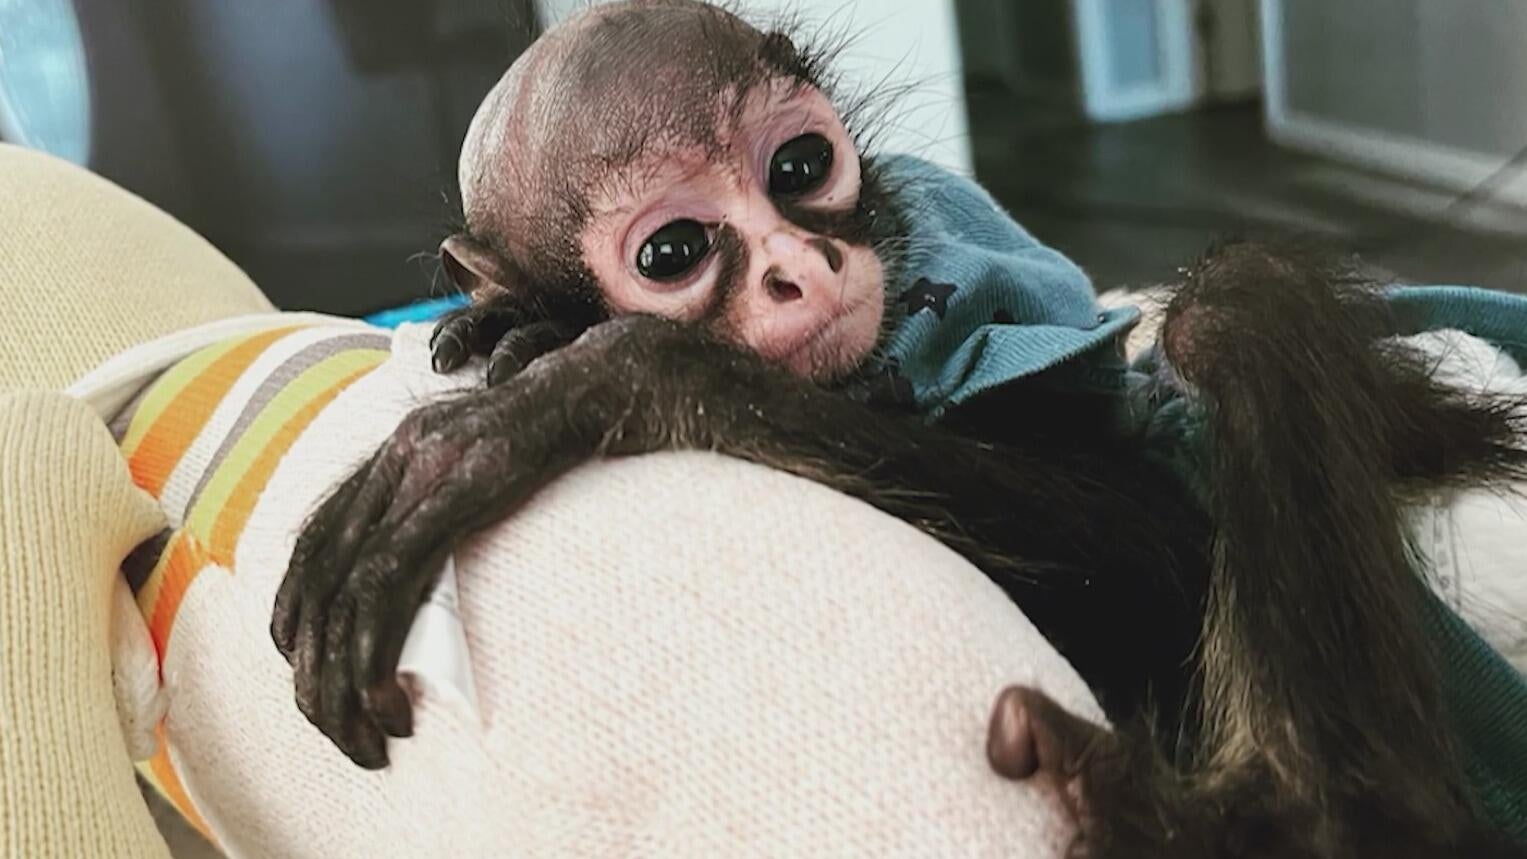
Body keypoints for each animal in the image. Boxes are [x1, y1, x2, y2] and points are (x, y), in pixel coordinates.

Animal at [268, 2, 1527, 856]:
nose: (800, 266)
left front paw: (595, 385)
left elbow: (1165, 546)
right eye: (673, 250)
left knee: (1234, 305)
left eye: (799, 164)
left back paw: (1304, 818)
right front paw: (513, 318)